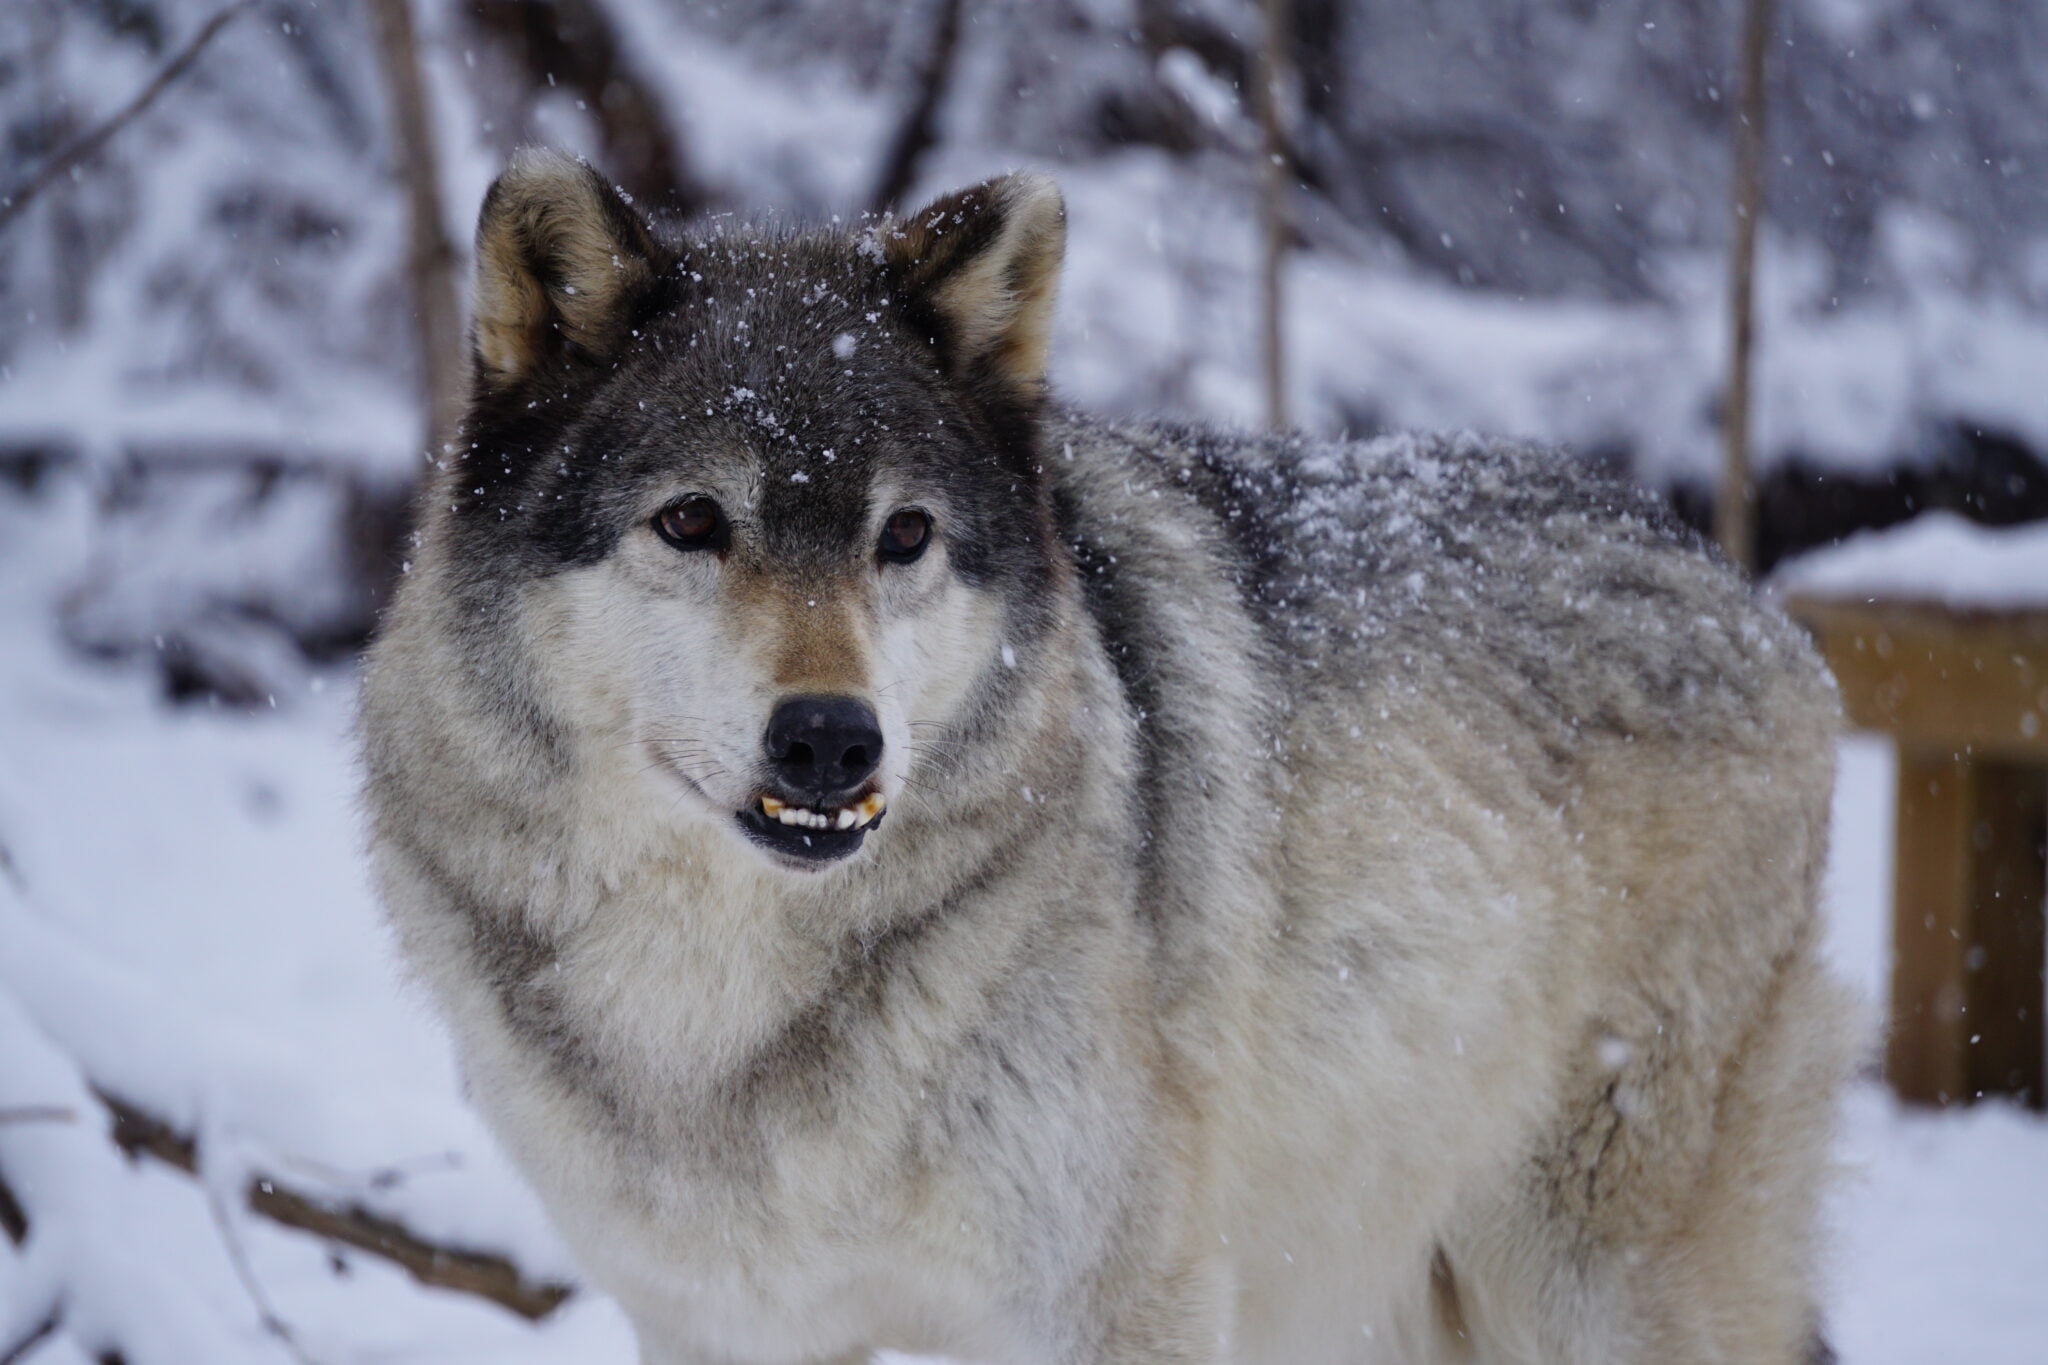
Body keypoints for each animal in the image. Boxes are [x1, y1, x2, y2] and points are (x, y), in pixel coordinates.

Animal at [360, 150, 1852, 1364]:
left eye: (905, 536)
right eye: (689, 521)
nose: (833, 737)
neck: (720, 996)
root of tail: (1752, 598)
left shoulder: (1119, 1303)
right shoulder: (726, 1328)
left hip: (1589, 1289)